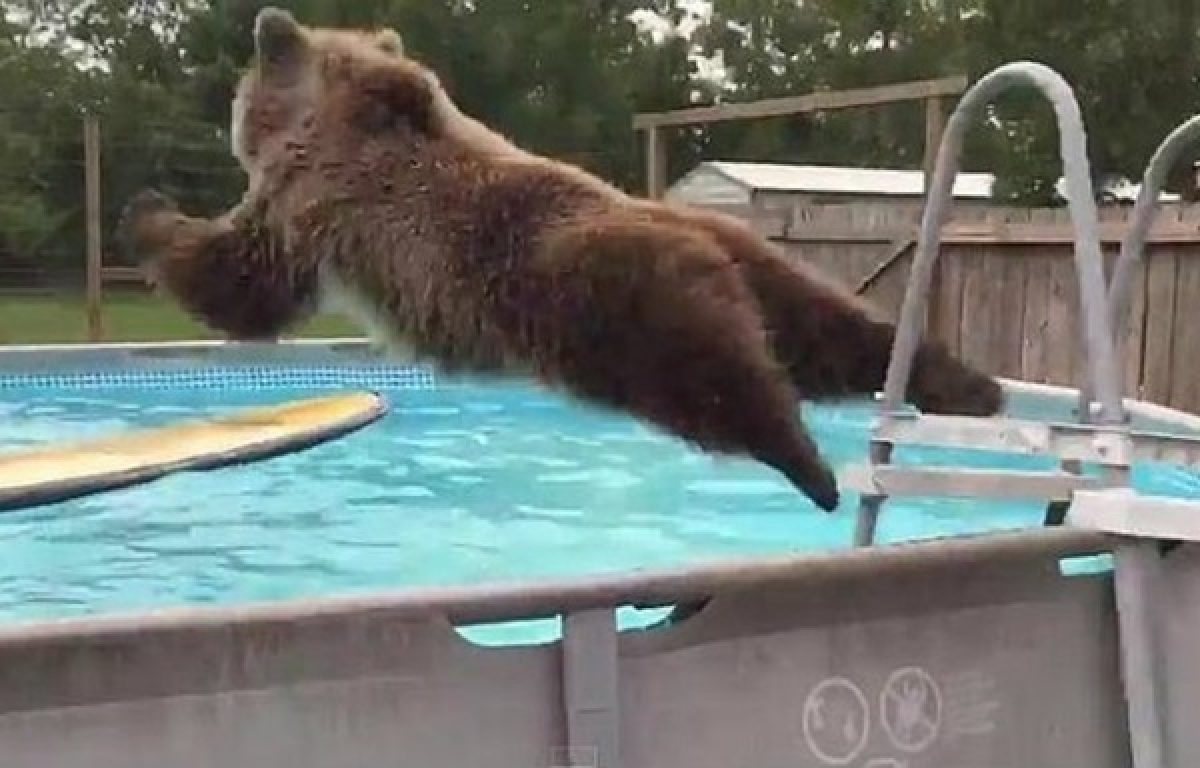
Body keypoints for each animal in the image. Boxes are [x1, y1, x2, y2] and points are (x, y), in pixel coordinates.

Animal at [118, 7, 1004, 513]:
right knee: (832, 332)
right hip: (762, 270)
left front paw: (146, 214)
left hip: (596, 303)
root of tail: (704, 237)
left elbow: (241, 278)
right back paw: (965, 384)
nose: (263, 26)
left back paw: (811, 469)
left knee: (718, 384)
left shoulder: (310, 202)